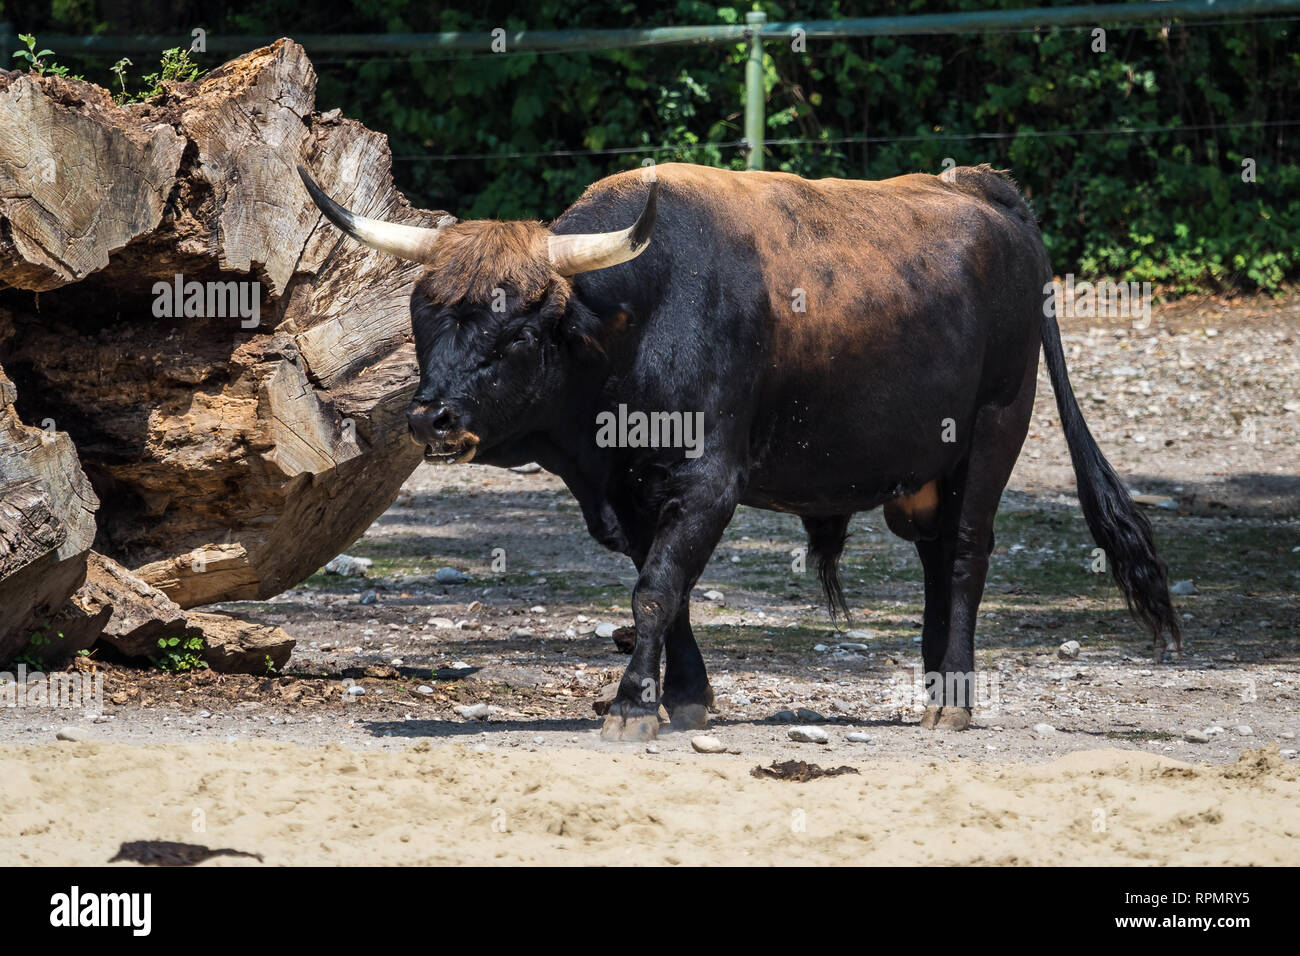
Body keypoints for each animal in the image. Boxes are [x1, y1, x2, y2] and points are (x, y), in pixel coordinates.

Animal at [298, 160, 1180, 740]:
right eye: (423, 318)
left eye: (514, 331)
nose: (432, 418)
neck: (635, 321)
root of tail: (980, 190)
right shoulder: (632, 494)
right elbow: (669, 590)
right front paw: (684, 698)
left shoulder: (707, 481)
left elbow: (656, 590)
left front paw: (632, 706)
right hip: (922, 474)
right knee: (935, 558)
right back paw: (933, 682)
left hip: (995, 429)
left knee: (964, 555)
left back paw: (953, 700)